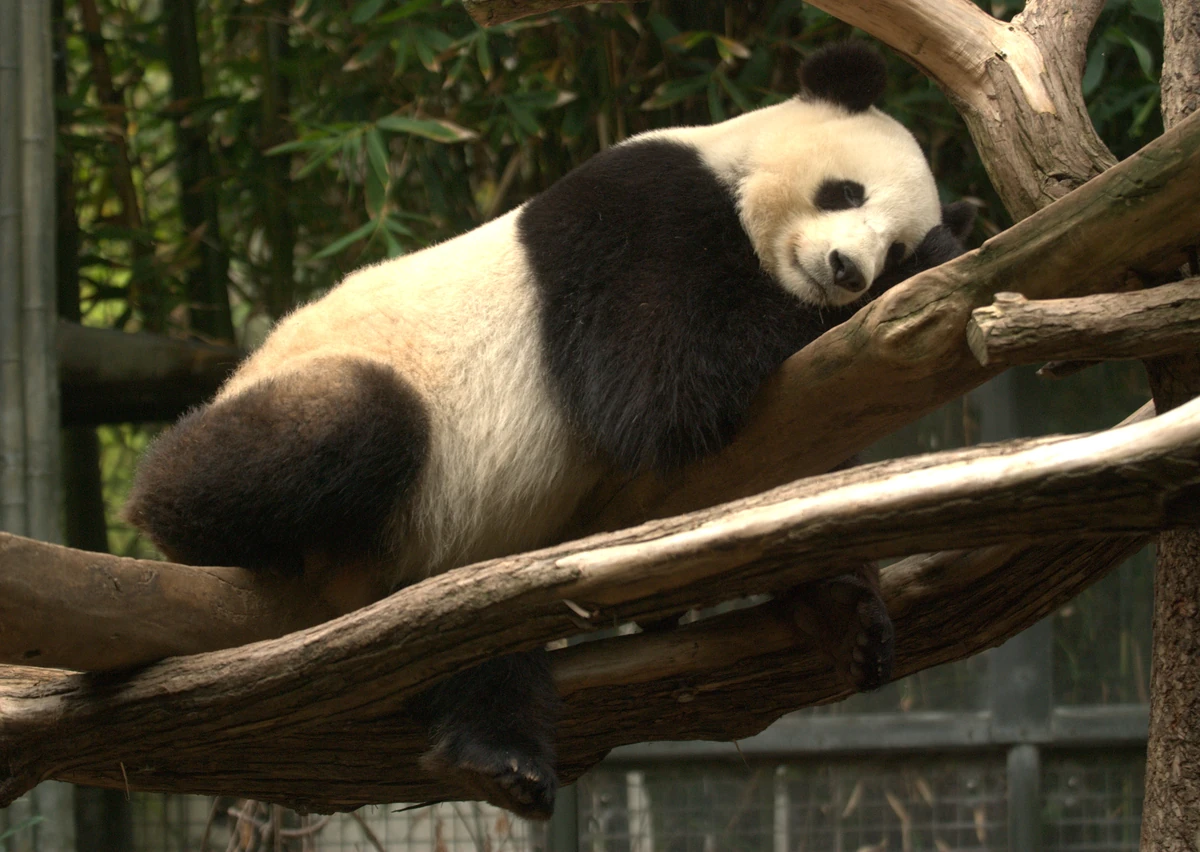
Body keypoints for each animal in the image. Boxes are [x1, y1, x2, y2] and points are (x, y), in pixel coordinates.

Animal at [126, 42, 973, 821]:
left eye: (891, 240)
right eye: (844, 191)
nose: (848, 271)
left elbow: (786, 468)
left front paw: (846, 611)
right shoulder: (639, 215)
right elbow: (658, 385)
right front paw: (939, 263)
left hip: (446, 564)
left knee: (467, 648)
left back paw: (496, 761)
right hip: (317, 391)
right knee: (345, 424)